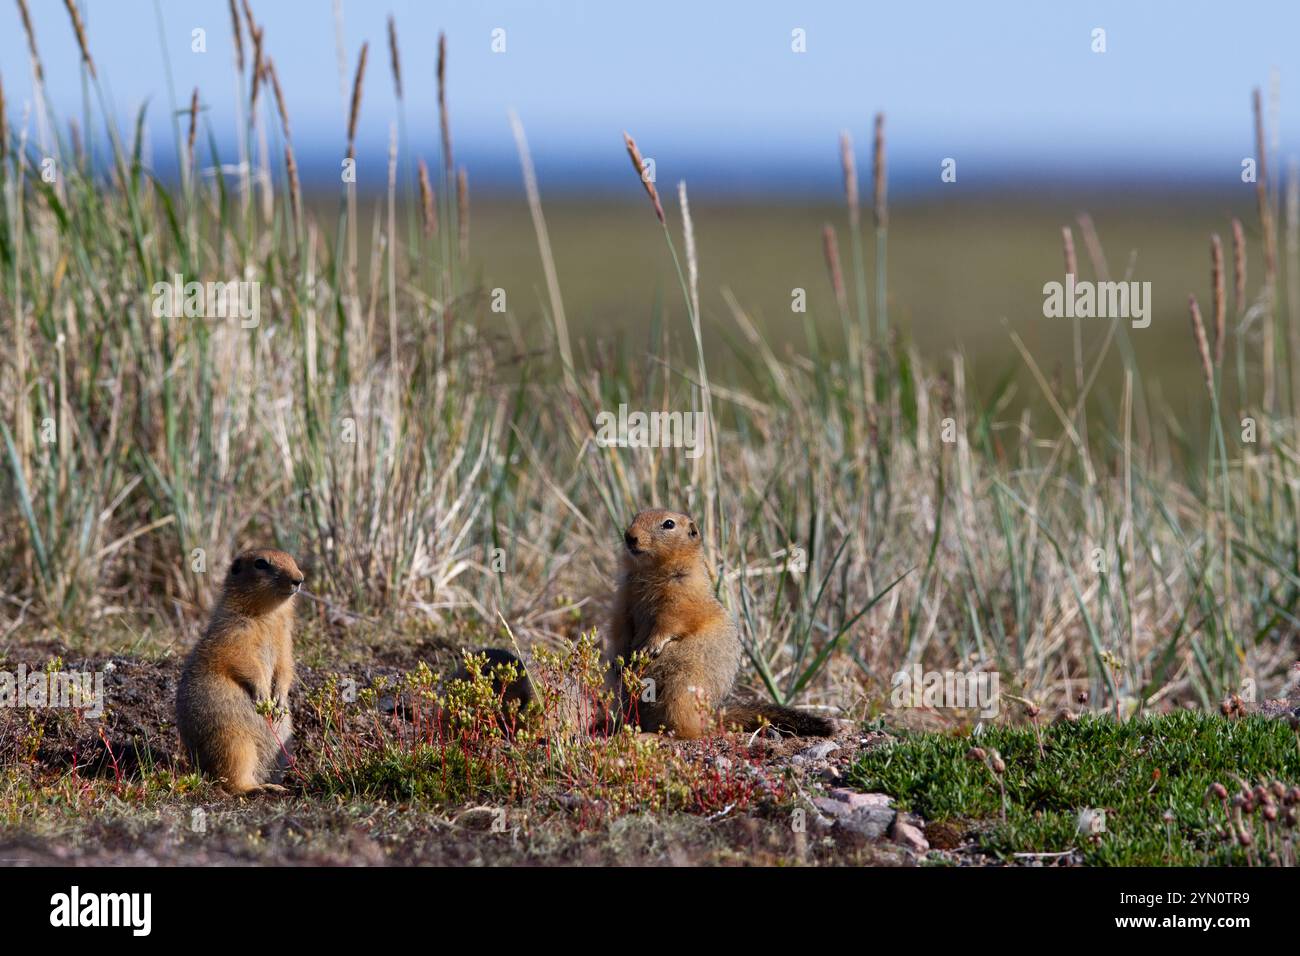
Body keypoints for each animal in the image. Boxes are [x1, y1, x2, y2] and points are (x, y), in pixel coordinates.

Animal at [176, 548, 304, 796]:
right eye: (261, 563)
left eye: (293, 559)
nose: (299, 579)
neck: (268, 616)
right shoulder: (234, 632)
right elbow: (242, 661)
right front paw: (263, 695)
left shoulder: (285, 641)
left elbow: (285, 666)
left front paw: (280, 701)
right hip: (234, 743)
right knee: (232, 781)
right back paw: (261, 788)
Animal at [609, 509, 835, 739]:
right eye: (636, 516)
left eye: (669, 524)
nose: (629, 536)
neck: (649, 570)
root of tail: (712, 716)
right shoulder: (623, 597)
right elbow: (619, 625)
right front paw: (619, 658)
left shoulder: (683, 595)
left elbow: (670, 621)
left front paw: (650, 646)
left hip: (680, 692)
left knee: (685, 731)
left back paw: (650, 734)